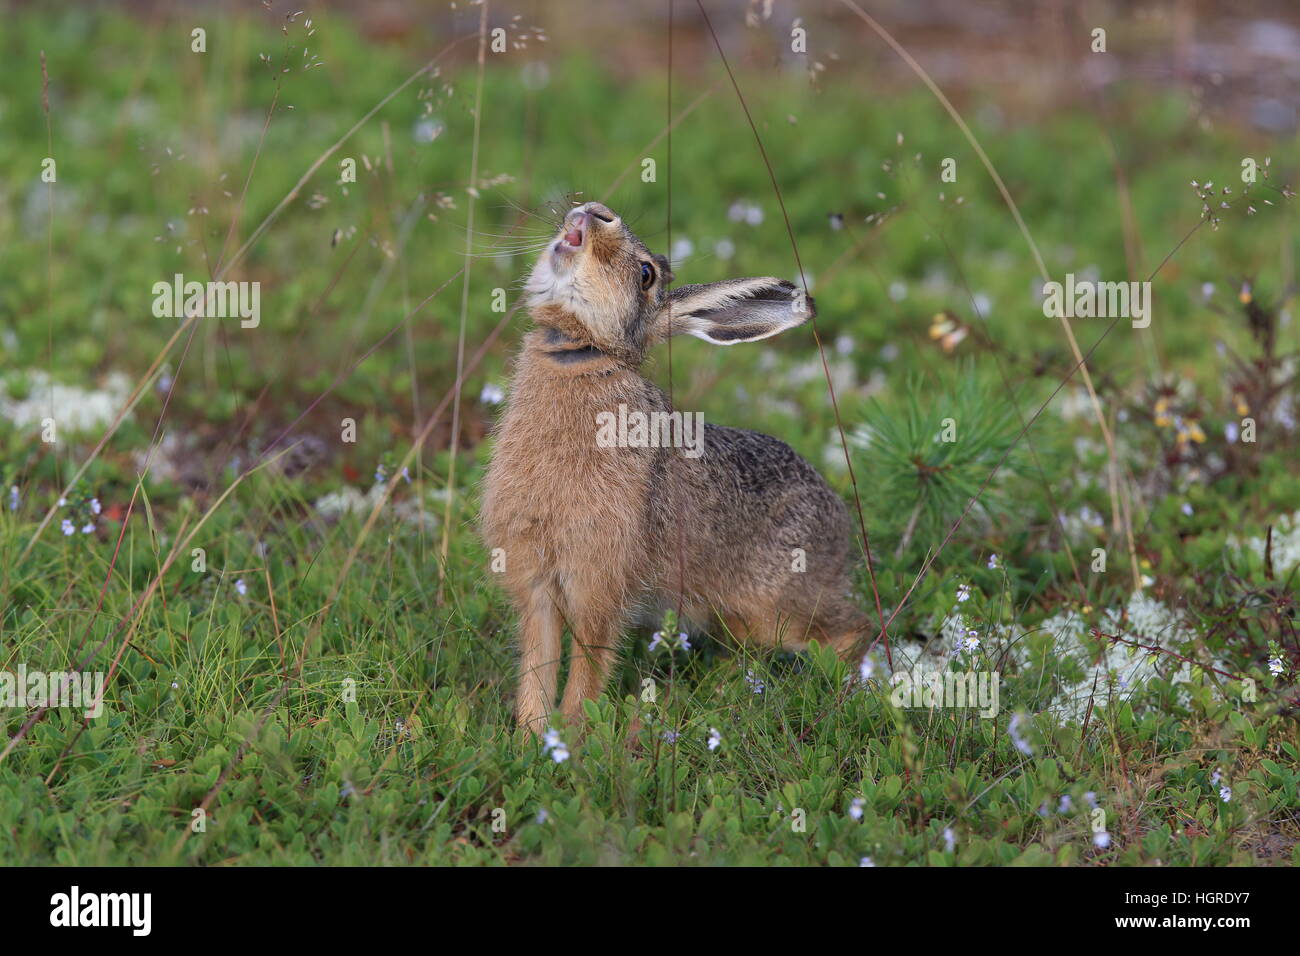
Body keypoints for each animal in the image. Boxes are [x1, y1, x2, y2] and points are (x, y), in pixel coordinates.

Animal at [480, 201, 869, 733]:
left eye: (645, 274)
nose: (596, 211)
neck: (582, 352)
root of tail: (840, 529)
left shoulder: (600, 583)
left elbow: (588, 667)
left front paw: (575, 734)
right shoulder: (537, 583)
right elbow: (538, 665)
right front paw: (531, 737)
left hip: (777, 611)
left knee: (852, 628)